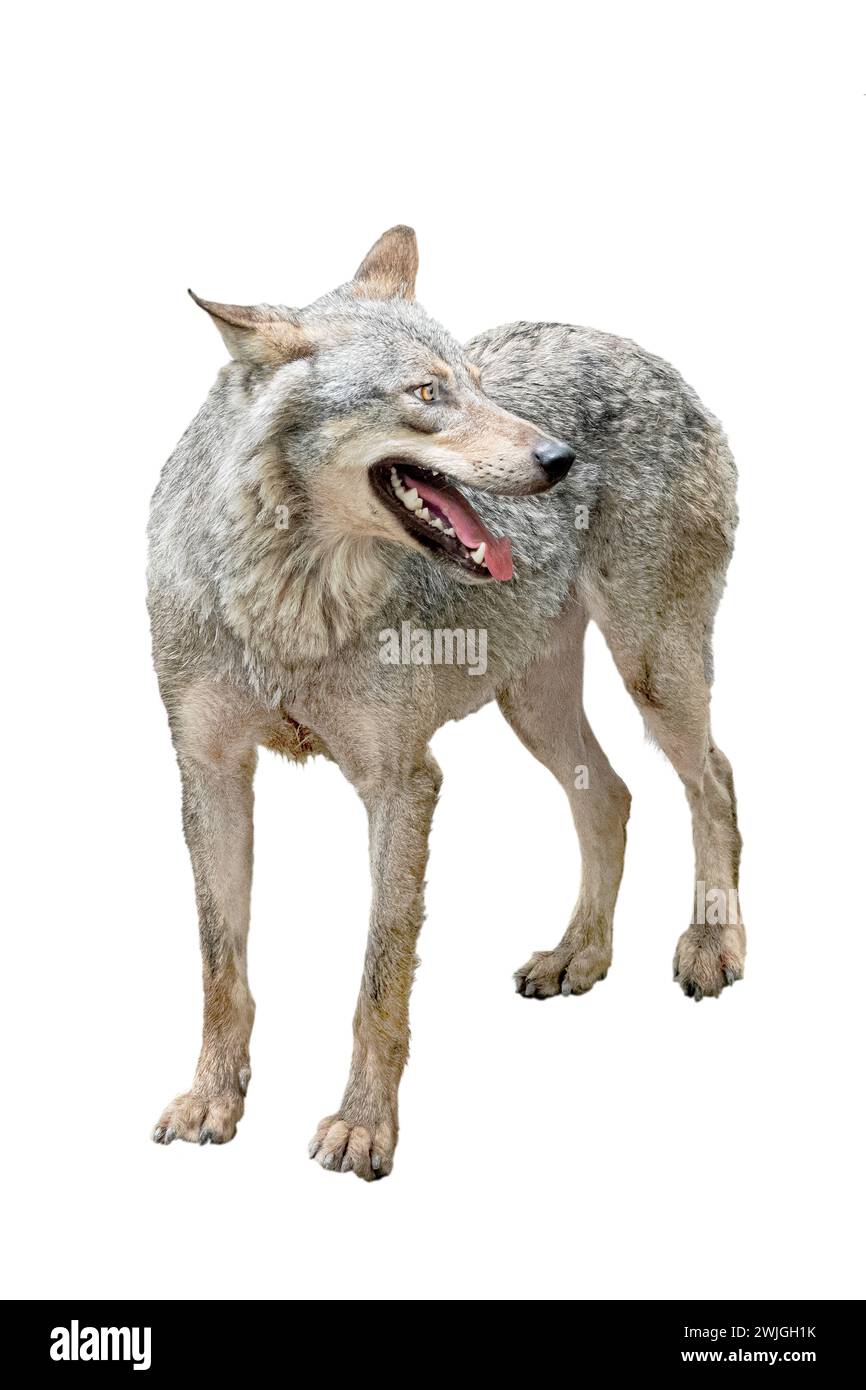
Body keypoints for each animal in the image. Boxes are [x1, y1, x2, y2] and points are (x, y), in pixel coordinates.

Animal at [147, 226, 744, 1178]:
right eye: (426, 394)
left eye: (473, 380)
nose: (561, 459)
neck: (287, 606)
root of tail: (640, 349)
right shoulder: (207, 775)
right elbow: (220, 970)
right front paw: (213, 1101)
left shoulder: (403, 784)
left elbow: (378, 981)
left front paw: (362, 1128)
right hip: (532, 703)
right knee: (612, 797)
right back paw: (579, 954)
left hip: (655, 670)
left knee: (714, 779)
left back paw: (713, 946)